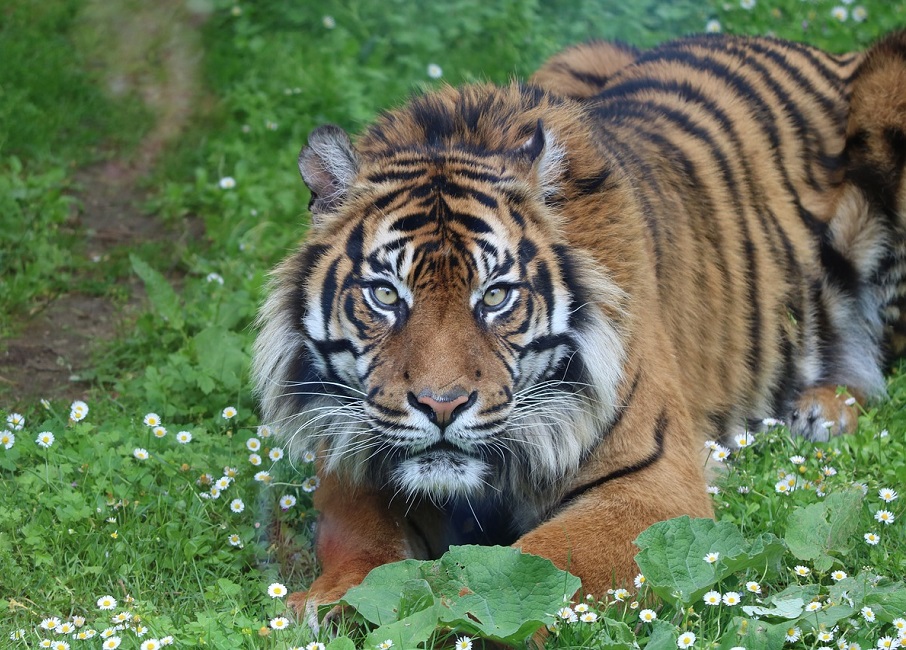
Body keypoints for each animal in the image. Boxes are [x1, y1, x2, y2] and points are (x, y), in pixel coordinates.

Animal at [252, 30, 906, 621]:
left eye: (495, 296)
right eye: (386, 294)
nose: (441, 406)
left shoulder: (652, 486)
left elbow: (529, 571)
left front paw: (450, 614)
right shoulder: (351, 461)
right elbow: (364, 543)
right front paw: (333, 602)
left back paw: (822, 410)